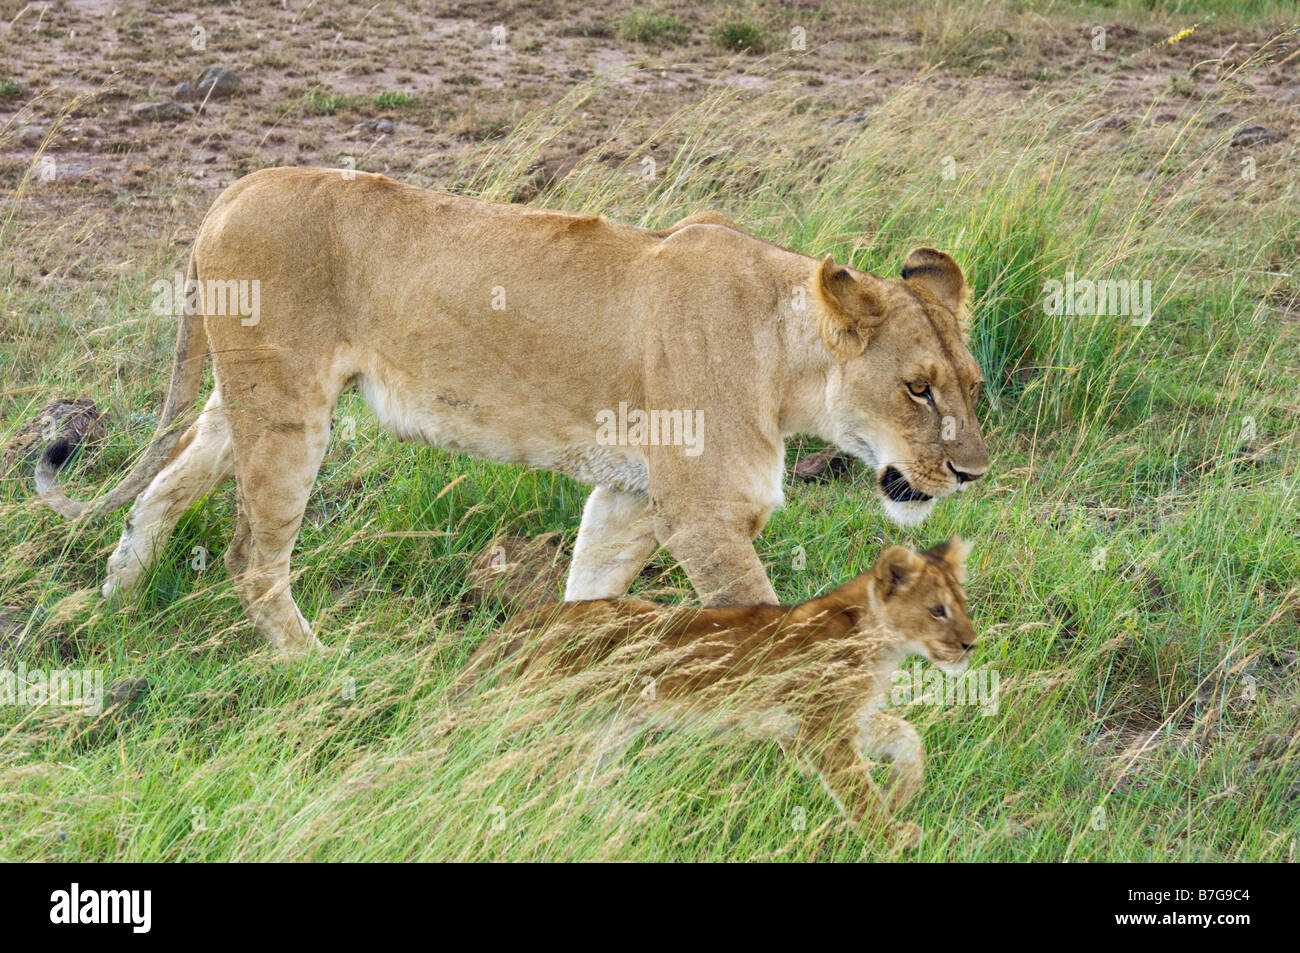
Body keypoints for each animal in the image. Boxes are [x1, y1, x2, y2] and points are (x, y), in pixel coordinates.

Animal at [36, 167, 988, 653]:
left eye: (972, 386)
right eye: (916, 387)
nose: (972, 472)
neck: (785, 355)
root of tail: (231, 190)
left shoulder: (632, 498)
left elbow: (588, 592)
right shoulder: (706, 514)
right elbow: (763, 625)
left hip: (245, 400)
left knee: (161, 489)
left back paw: (105, 611)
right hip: (289, 410)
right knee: (248, 556)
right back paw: (314, 665)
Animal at [453, 539, 978, 830]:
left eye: (962, 605)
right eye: (937, 610)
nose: (972, 644)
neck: (884, 644)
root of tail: (541, 615)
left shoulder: (840, 721)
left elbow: (908, 736)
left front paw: (902, 792)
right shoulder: (820, 728)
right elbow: (856, 792)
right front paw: (888, 837)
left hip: (607, 724)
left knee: (579, 779)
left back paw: (613, 821)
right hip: (560, 715)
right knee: (531, 769)